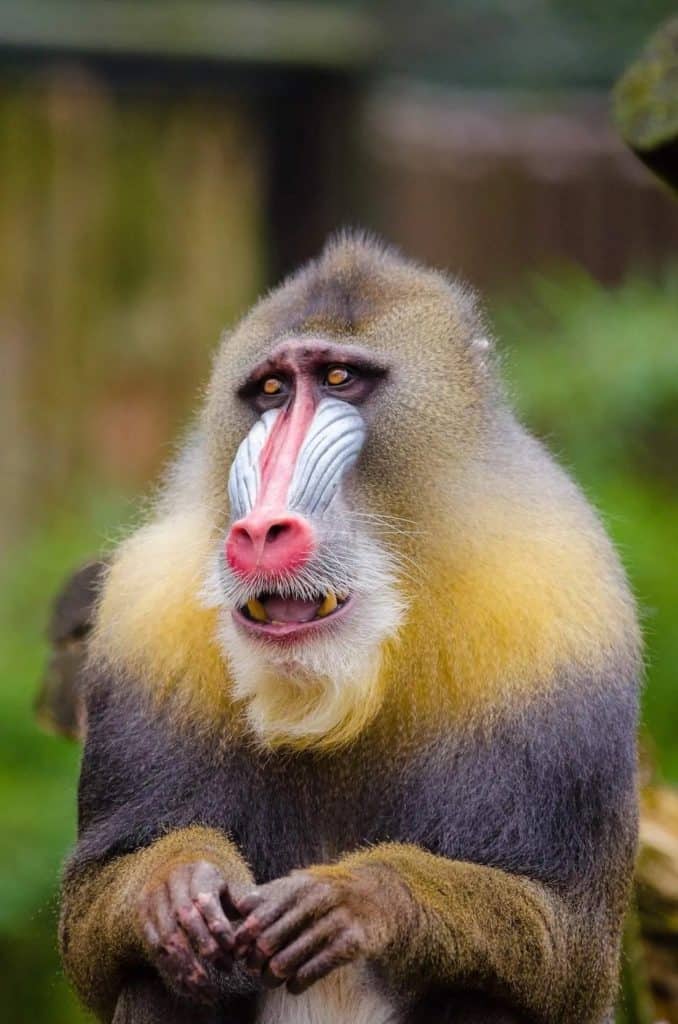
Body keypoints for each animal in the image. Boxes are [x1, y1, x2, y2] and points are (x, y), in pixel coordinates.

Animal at [58, 233, 641, 1024]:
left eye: (339, 378)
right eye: (272, 391)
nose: (260, 530)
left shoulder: (566, 612)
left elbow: (567, 941)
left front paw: (362, 898)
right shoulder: (141, 615)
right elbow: (92, 922)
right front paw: (178, 886)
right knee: (161, 977)